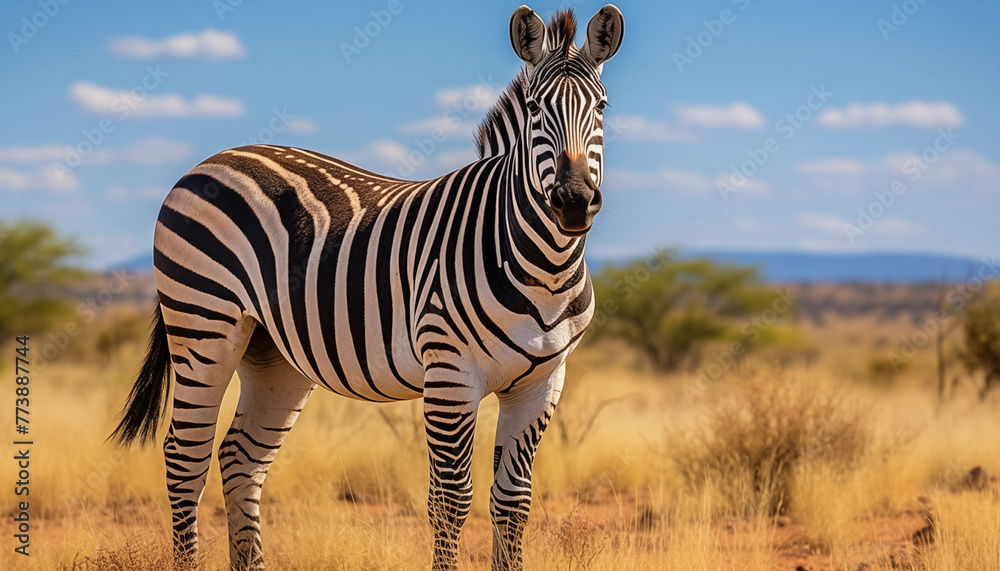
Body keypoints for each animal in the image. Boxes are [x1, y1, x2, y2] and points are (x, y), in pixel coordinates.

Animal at [111, 5, 624, 570]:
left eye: (601, 107)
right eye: (534, 109)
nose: (573, 202)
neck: (542, 267)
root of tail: (210, 160)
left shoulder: (543, 381)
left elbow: (513, 502)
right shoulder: (450, 373)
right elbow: (451, 499)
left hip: (274, 354)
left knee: (240, 457)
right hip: (202, 324)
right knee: (186, 456)